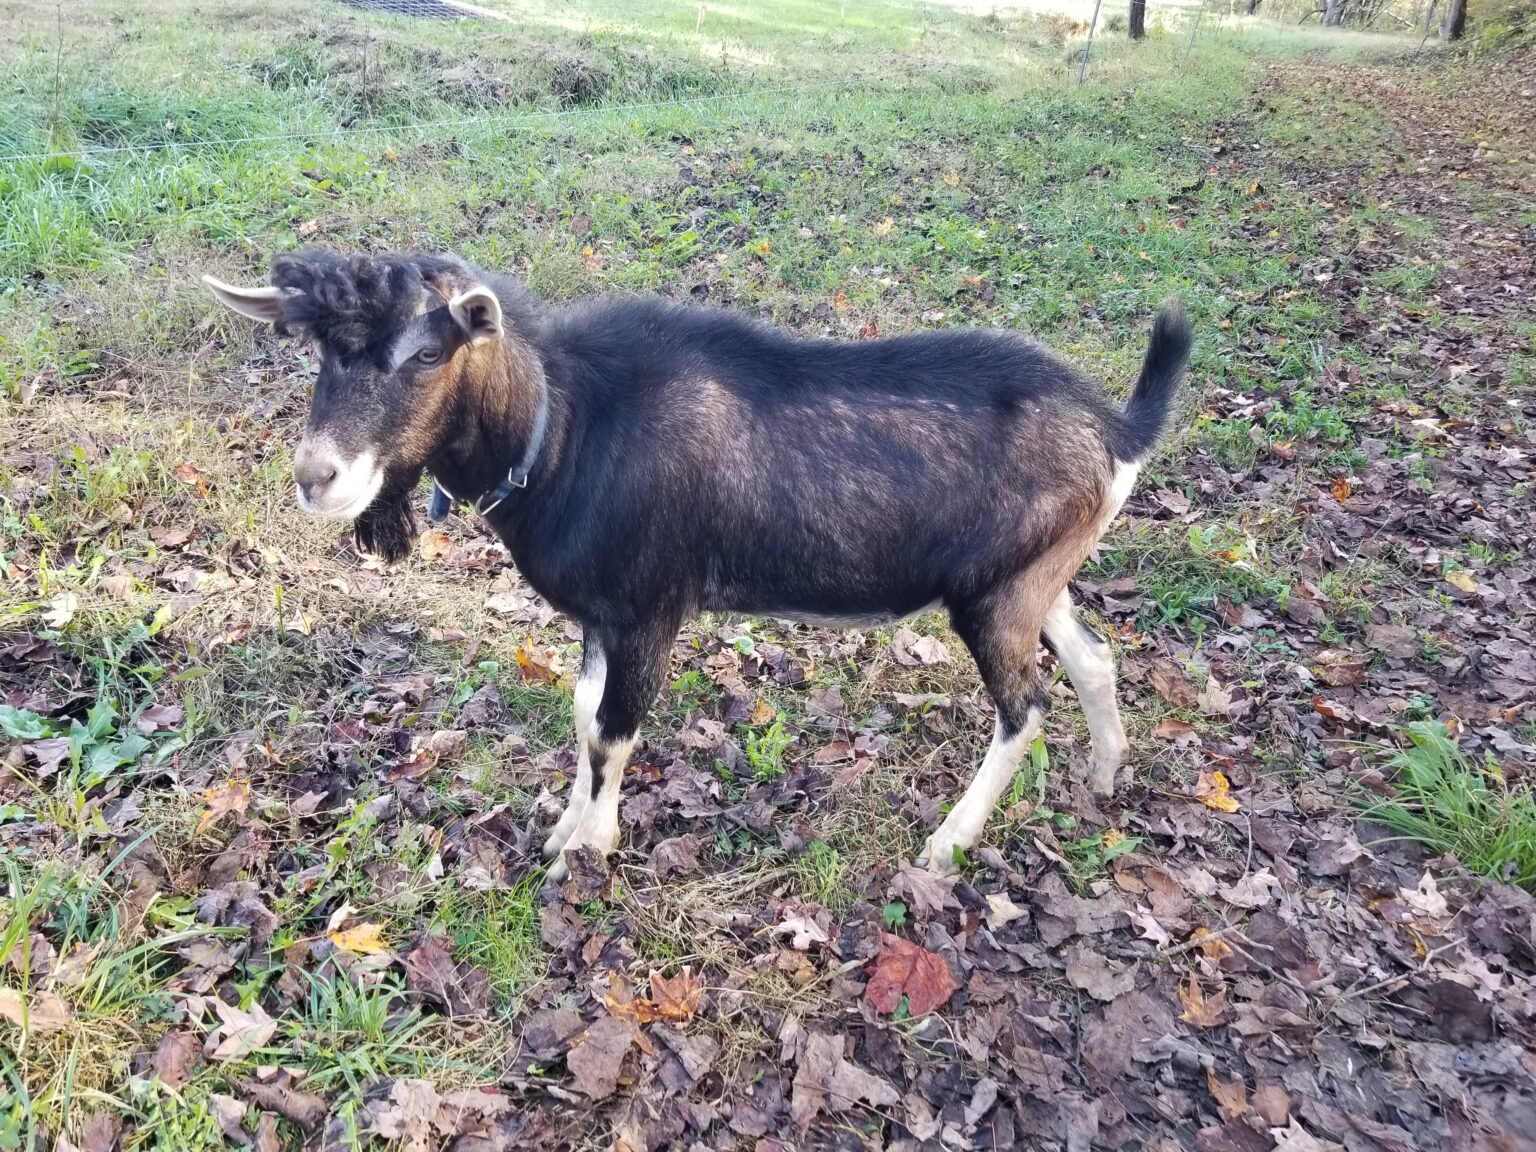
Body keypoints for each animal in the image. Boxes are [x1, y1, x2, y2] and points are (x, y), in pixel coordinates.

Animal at [204, 250, 1191, 879]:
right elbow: (583, 712)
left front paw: (586, 848)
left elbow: (612, 729)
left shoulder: (651, 605)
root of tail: (1116, 430)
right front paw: (567, 821)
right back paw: (1105, 776)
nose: (316, 477)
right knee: (1093, 659)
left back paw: (948, 843)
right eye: (319, 352)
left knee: (1023, 711)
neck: (565, 430)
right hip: (1030, 578)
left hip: (994, 600)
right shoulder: (603, 615)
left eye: (425, 352)